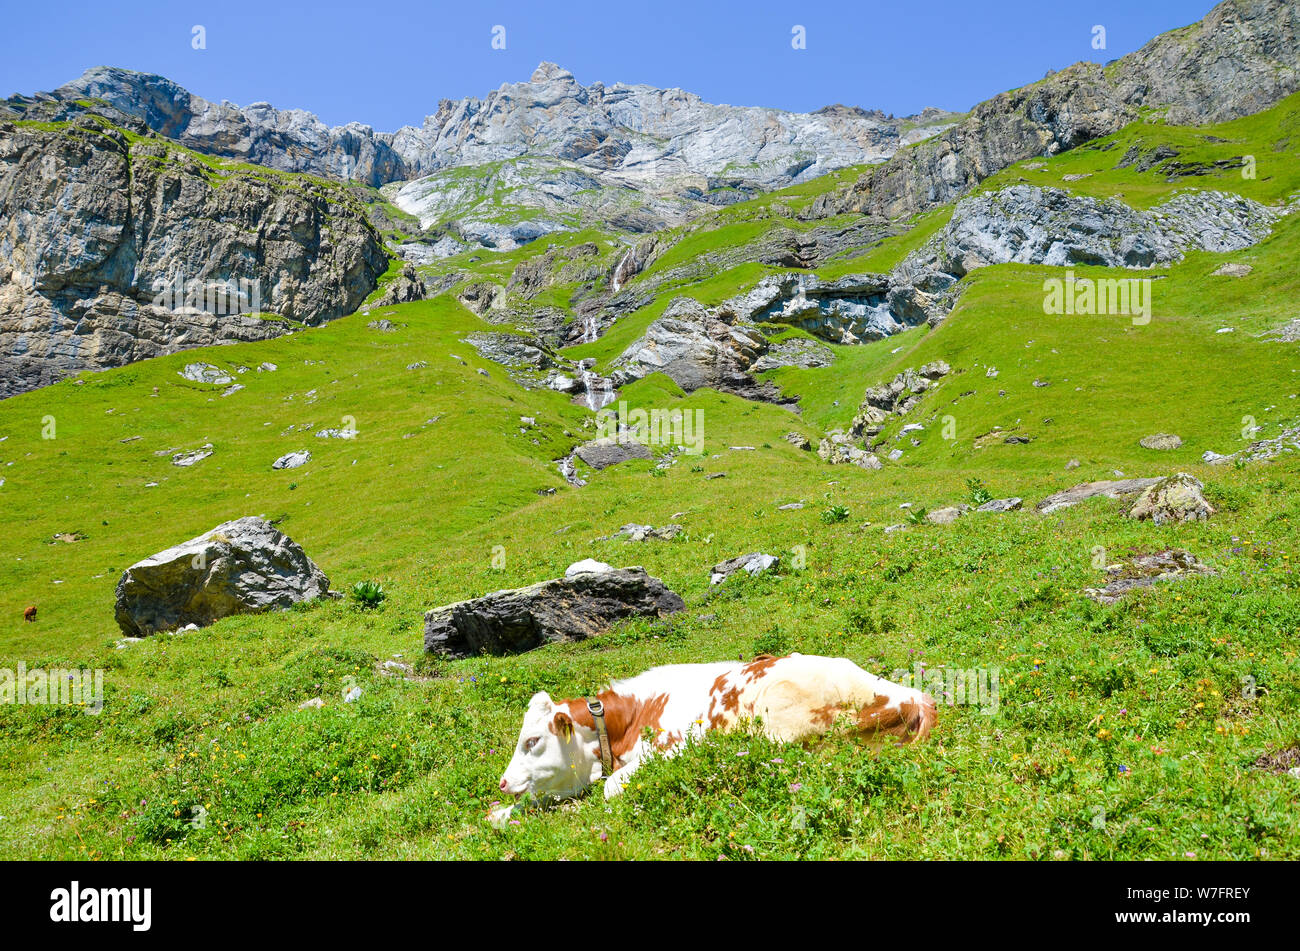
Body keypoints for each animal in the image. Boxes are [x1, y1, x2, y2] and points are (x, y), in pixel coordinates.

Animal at [491, 652, 935, 825]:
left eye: (532, 740)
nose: (502, 781)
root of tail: (908, 693)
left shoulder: (676, 748)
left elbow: (612, 788)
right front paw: (501, 813)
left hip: (778, 721)